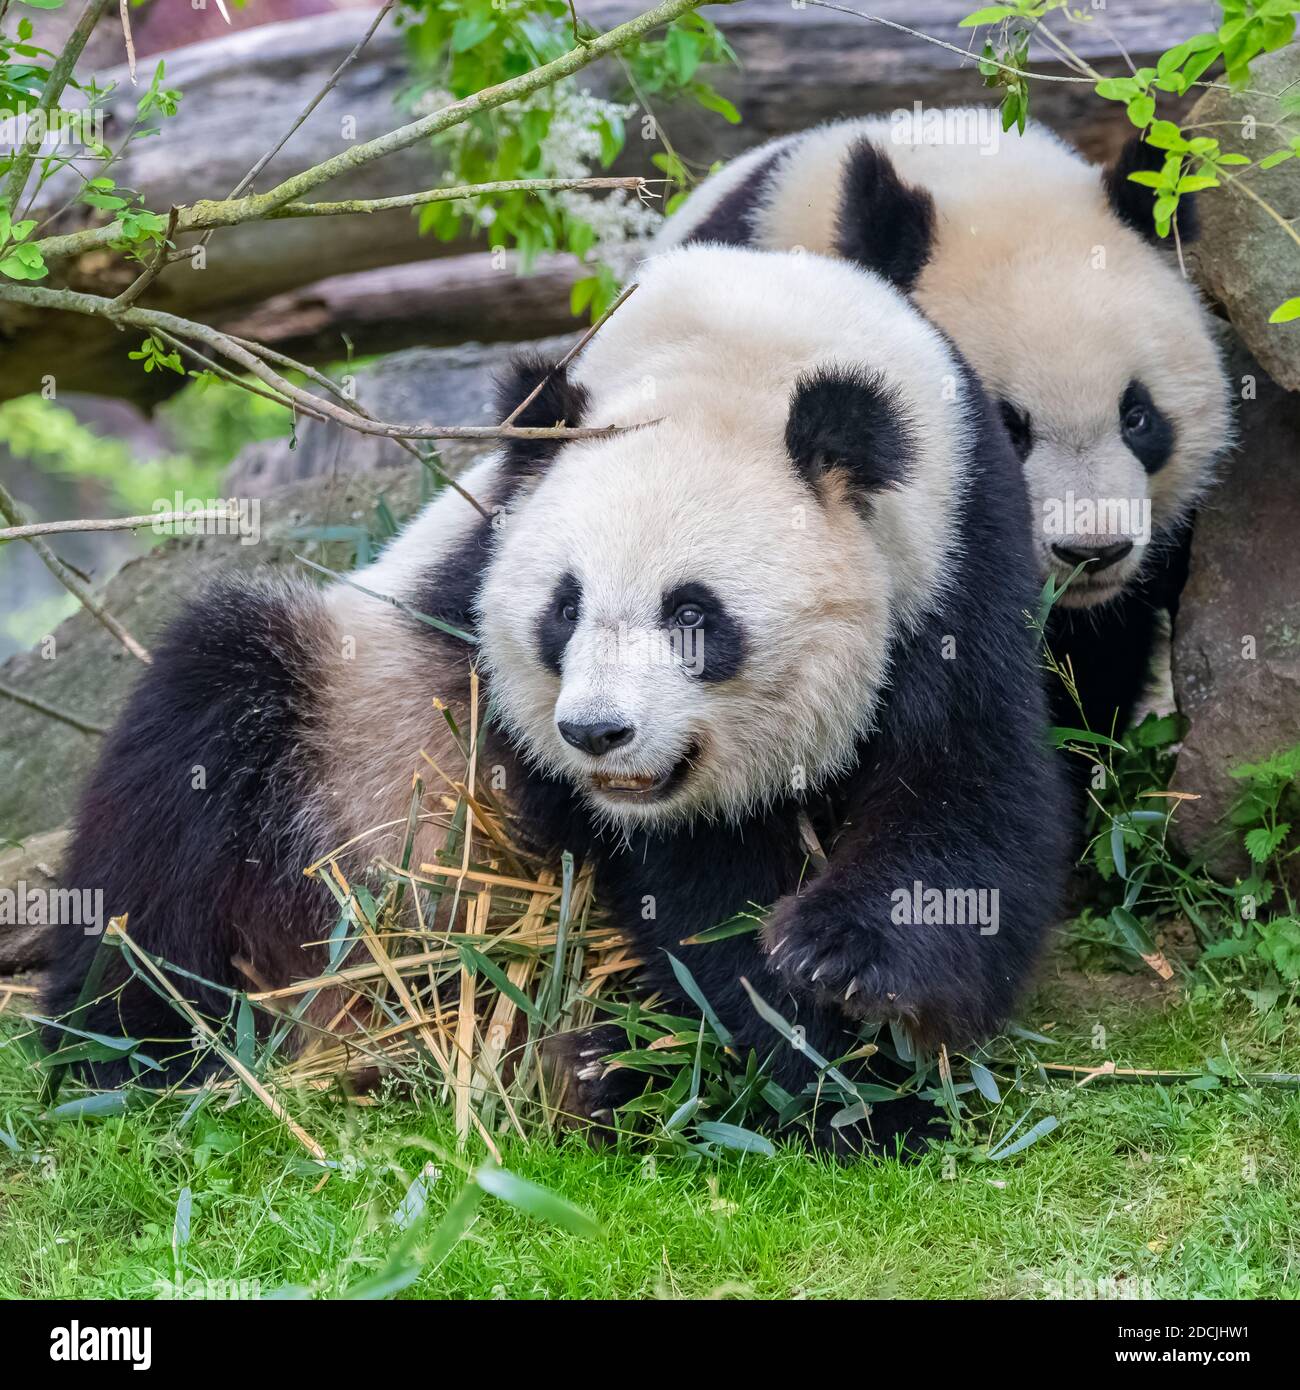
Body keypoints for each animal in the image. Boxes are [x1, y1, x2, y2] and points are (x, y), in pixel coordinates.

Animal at [45, 245, 1070, 1154]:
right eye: (564, 607)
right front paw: (827, 1075)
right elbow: (698, 900)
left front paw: (845, 974)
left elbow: (970, 792)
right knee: (186, 768)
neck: (743, 346)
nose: (596, 733)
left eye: (692, 615)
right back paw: (133, 1052)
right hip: (339, 738)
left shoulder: (959, 552)